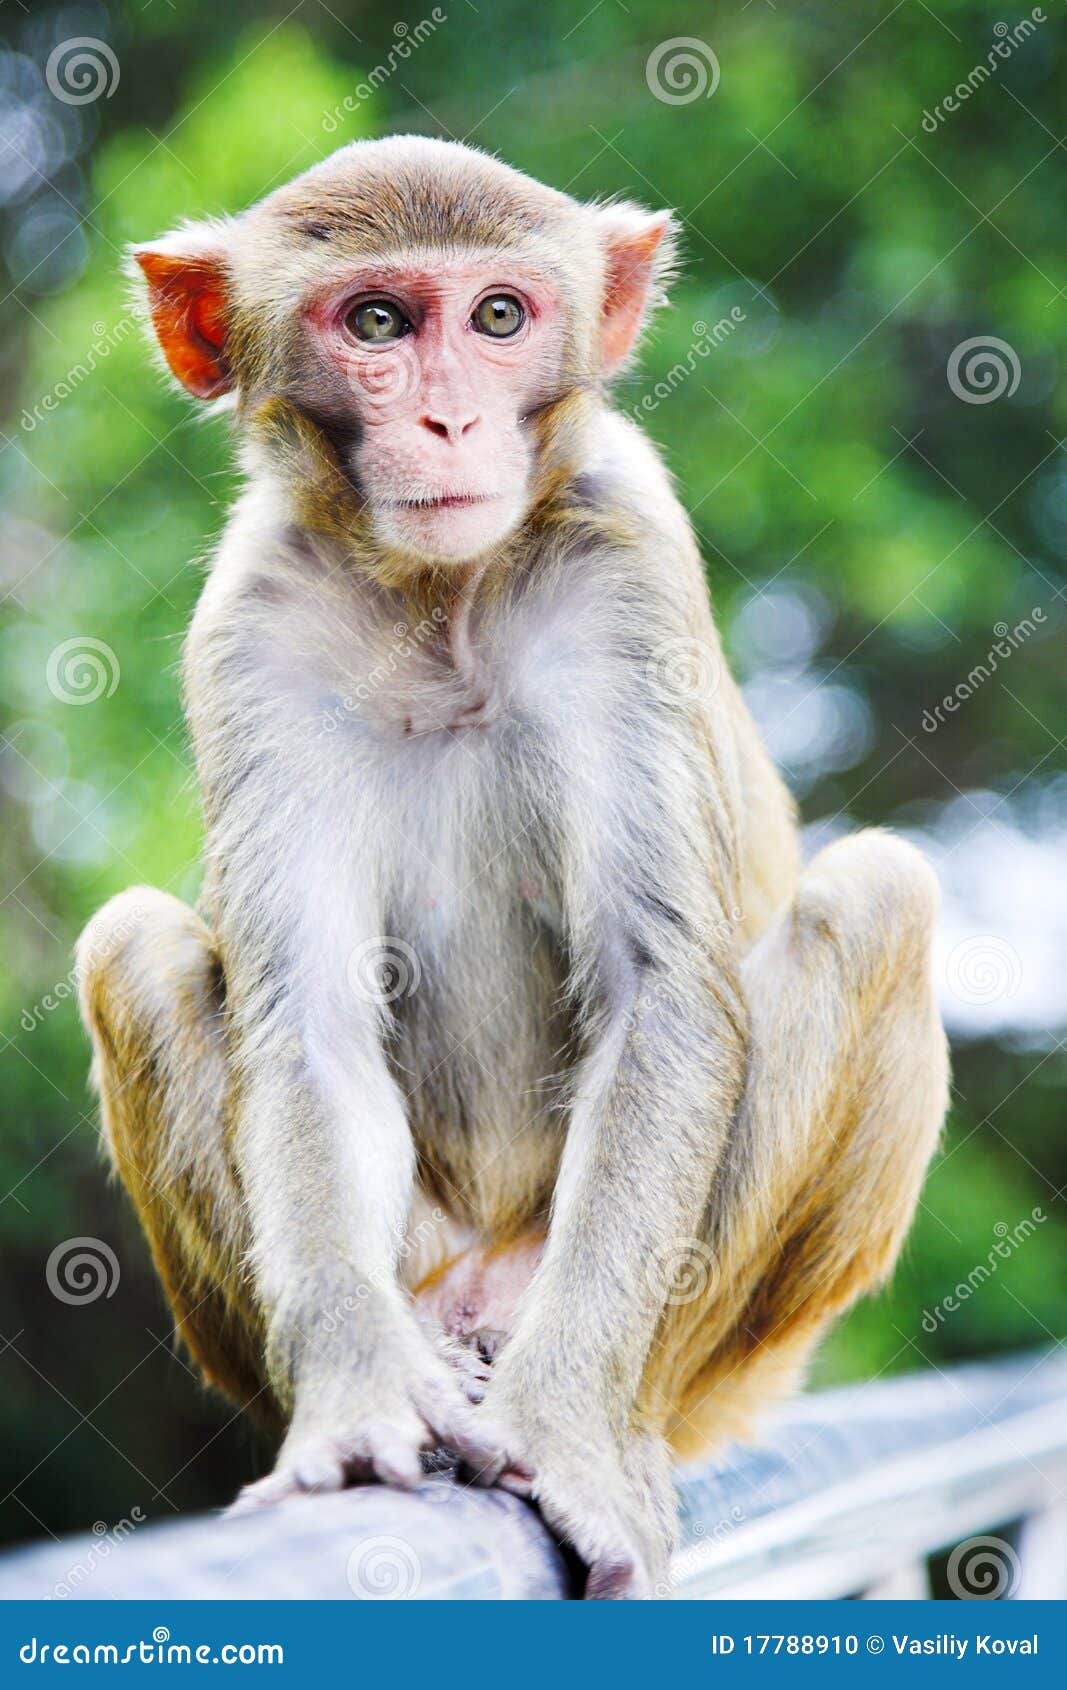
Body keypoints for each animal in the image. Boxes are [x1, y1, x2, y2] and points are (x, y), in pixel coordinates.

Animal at [76, 136, 948, 1600]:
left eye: (497, 316)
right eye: (377, 323)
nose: (444, 423)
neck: (440, 595)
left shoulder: (625, 559)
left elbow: (661, 987)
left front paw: (567, 1435)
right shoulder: (250, 621)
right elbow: (306, 1018)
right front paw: (356, 1400)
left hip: (711, 1348)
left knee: (876, 896)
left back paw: (611, 1420)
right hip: (413, 1265)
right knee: (128, 943)